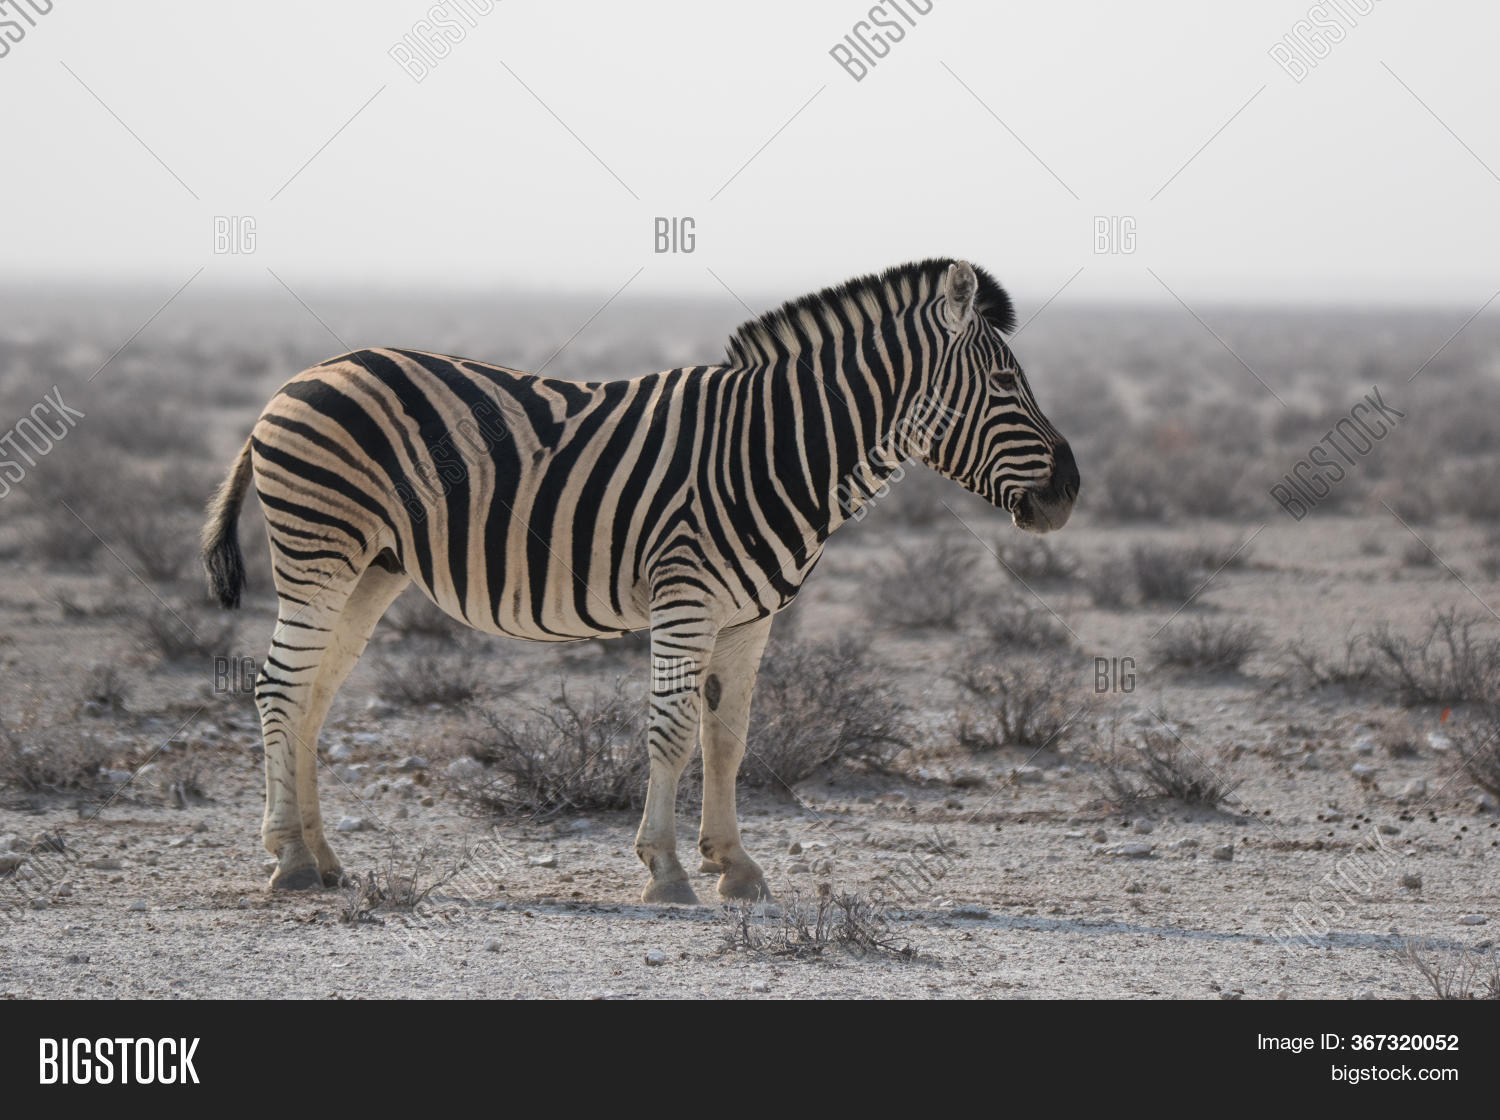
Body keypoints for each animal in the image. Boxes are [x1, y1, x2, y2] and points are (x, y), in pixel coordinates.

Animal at [202, 258, 1078, 904]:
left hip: (371, 569)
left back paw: (323, 860)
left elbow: (729, 737)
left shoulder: (749, 616)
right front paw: (666, 871)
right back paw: (287, 861)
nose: (1070, 492)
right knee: (280, 688)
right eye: (1006, 386)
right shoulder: (685, 599)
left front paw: (735, 865)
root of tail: (304, 375)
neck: (781, 450)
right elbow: (671, 730)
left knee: (314, 697)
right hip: (319, 552)